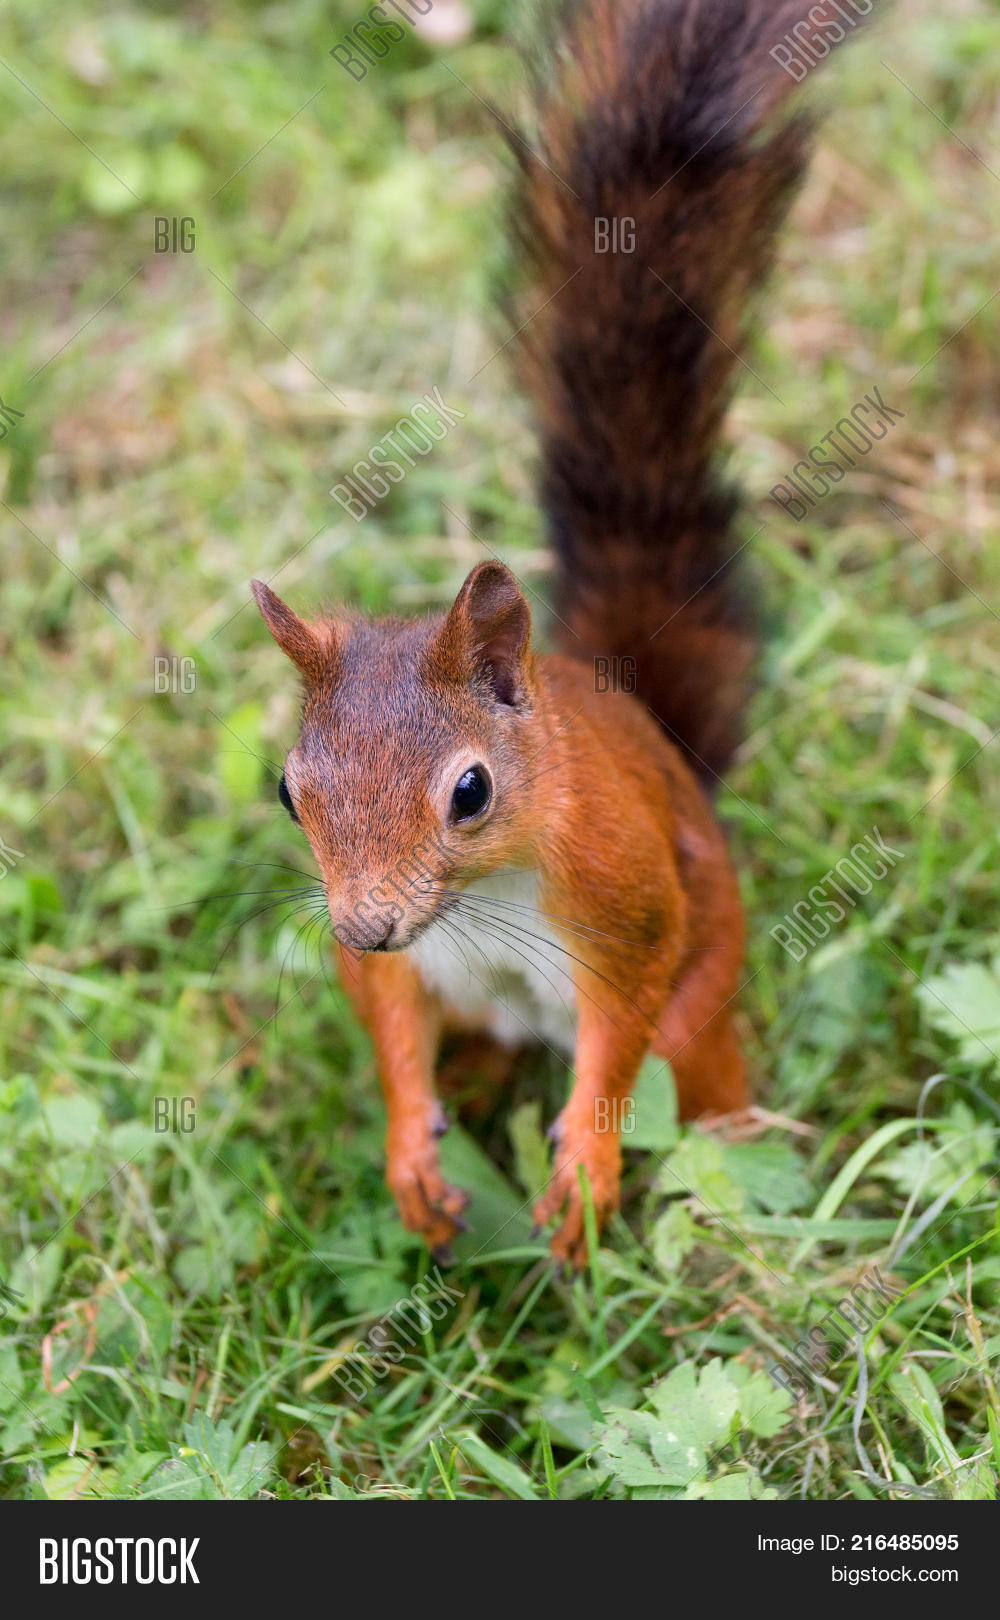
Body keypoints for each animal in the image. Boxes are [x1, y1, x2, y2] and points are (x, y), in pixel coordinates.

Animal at [251, 0, 848, 1269]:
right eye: (289, 793)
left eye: (470, 791)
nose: (368, 922)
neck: (479, 896)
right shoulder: (403, 970)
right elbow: (389, 1025)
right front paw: (409, 1155)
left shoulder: (623, 891)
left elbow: (620, 1029)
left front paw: (582, 1172)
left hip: (702, 1007)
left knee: (691, 1071)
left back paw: (737, 1148)